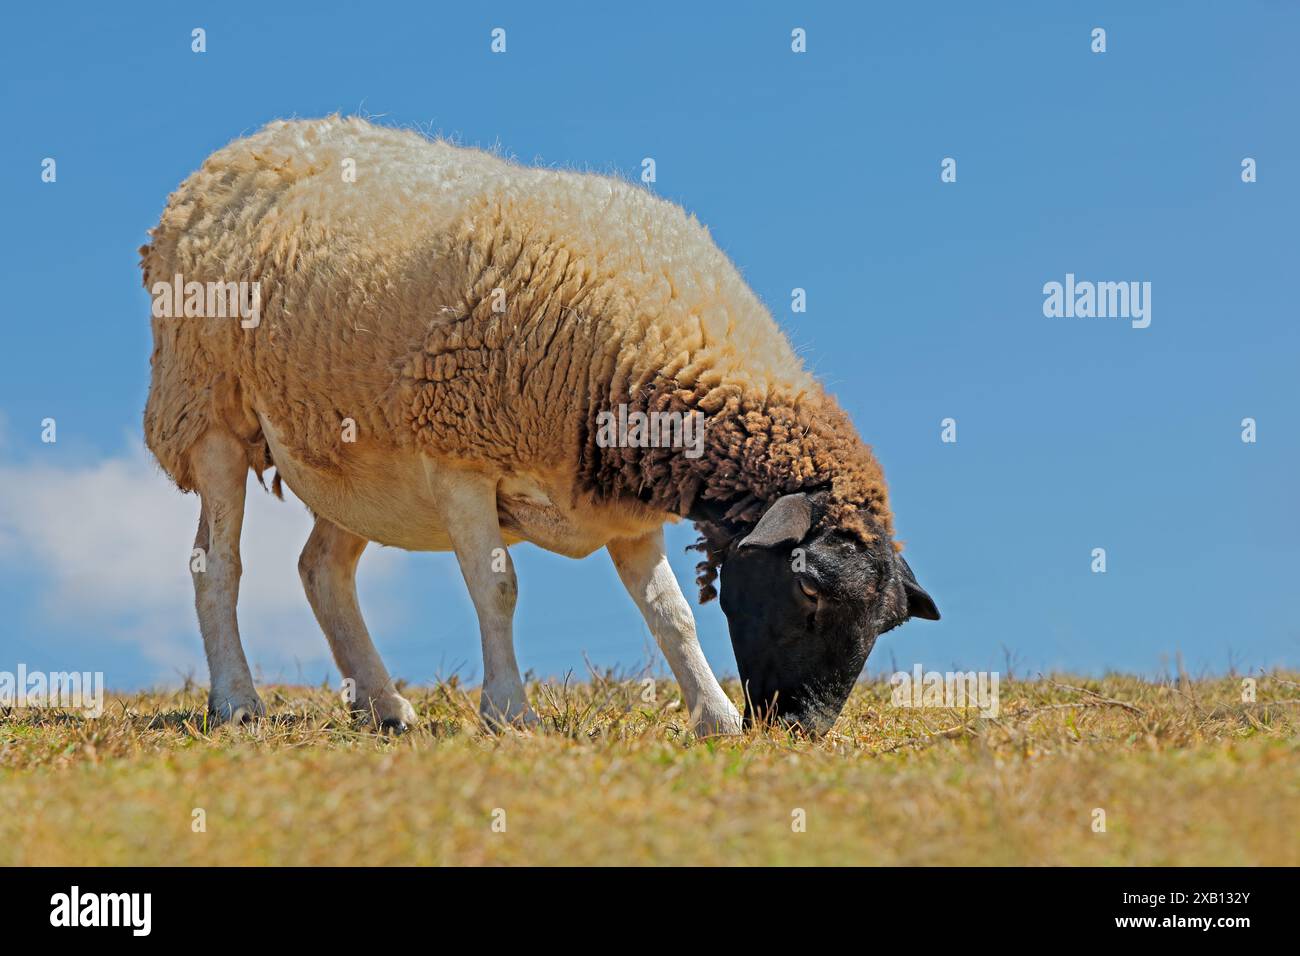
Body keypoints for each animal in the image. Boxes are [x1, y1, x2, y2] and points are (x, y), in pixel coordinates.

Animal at [141, 116, 939, 736]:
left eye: (884, 623)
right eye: (808, 589)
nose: (803, 730)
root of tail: (243, 147)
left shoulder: (621, 508)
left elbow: (670, 613)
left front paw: (714, 716)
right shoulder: (459, 453)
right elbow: (497, 587)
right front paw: (510, 713)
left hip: (356, 461)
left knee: (321, 569)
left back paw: (383, 705)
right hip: (206, 407)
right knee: (218, 563)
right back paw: (237, 702)